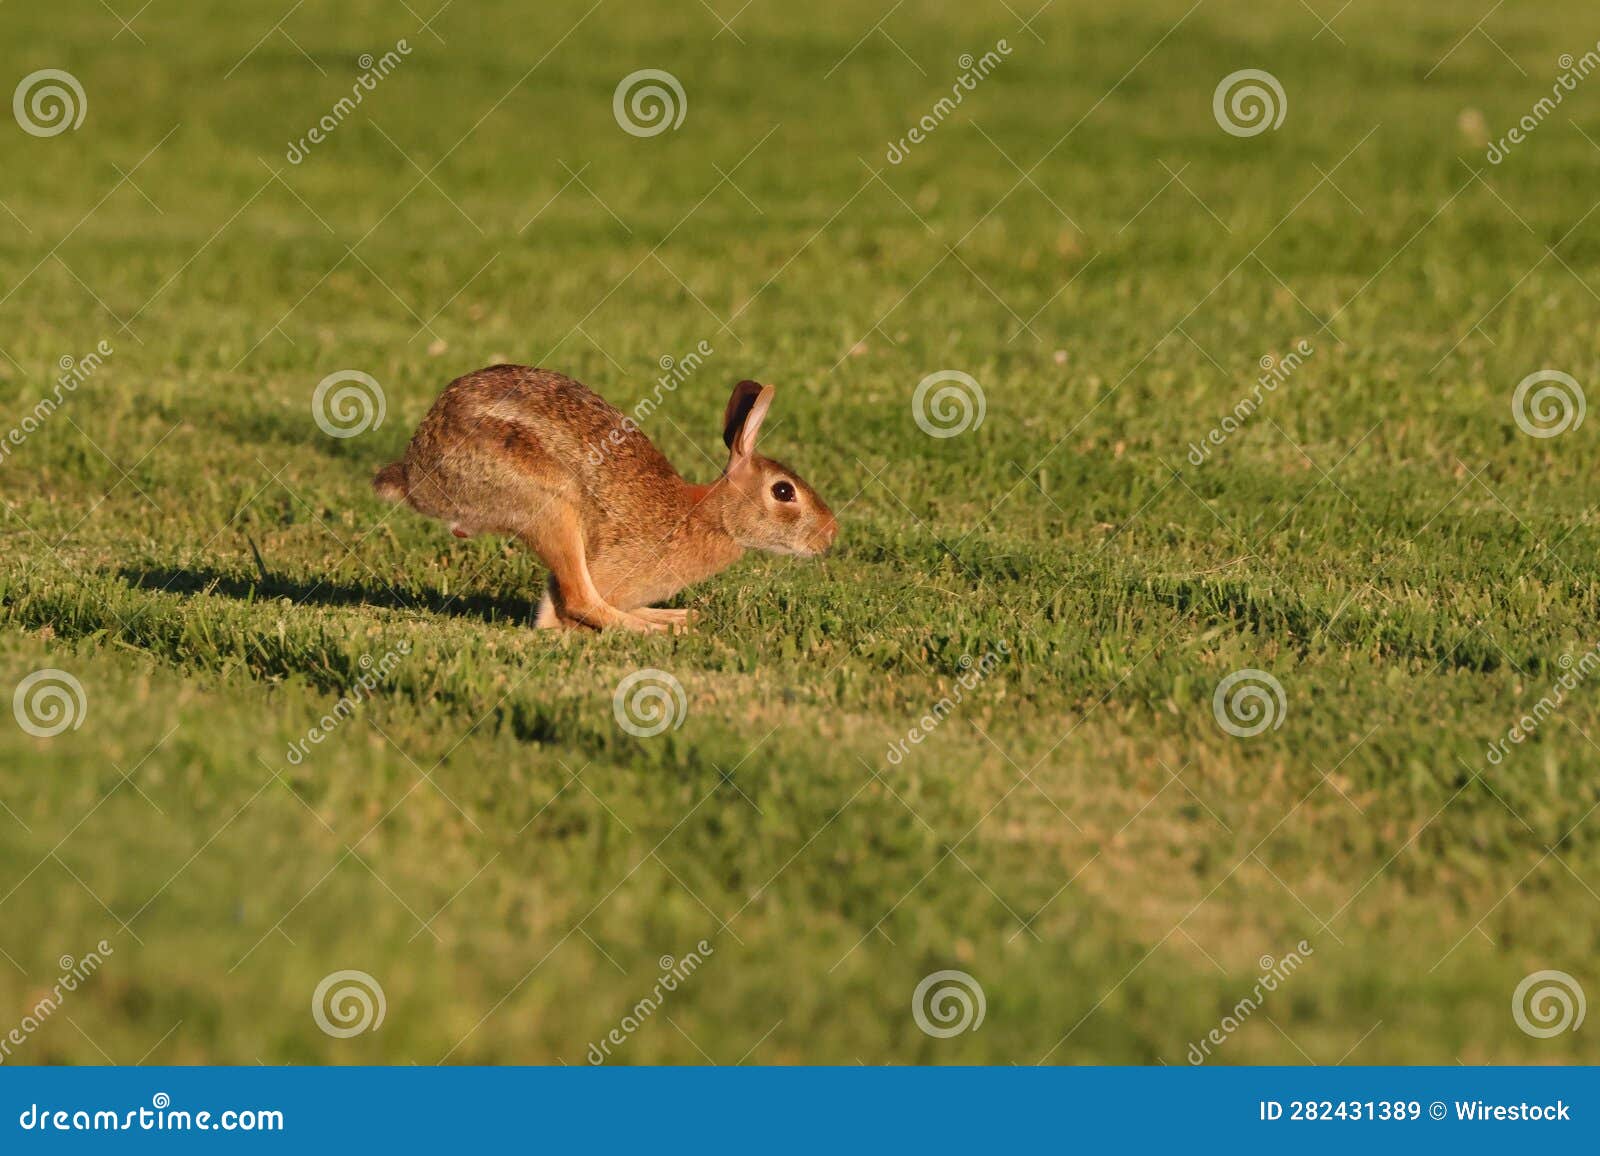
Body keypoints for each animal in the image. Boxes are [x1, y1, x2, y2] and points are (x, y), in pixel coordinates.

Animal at [372, 366, 838, 633]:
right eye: (783, 491)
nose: (831, 534)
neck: (709, 517)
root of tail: (416, 470)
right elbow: (560, 613)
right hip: (550, 507)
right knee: (580, 597)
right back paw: (659, 630)